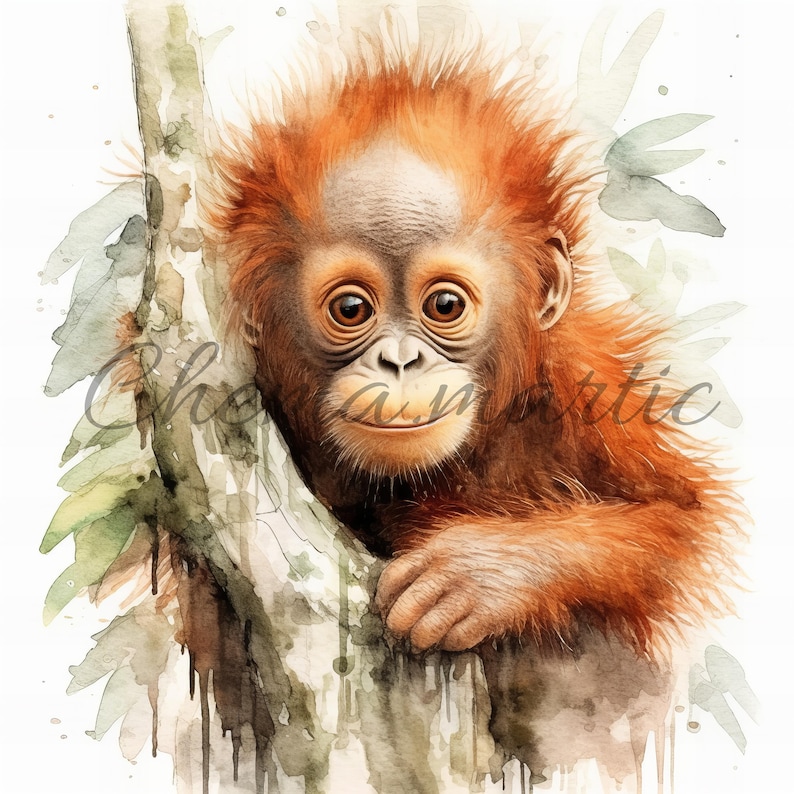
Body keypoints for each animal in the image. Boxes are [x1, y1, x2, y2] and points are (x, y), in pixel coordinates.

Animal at [209, 47, 739, 657]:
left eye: (444, 305)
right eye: (350, 310)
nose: (399, 361)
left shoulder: (593, 387)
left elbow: (687, 523)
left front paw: (481, 576)